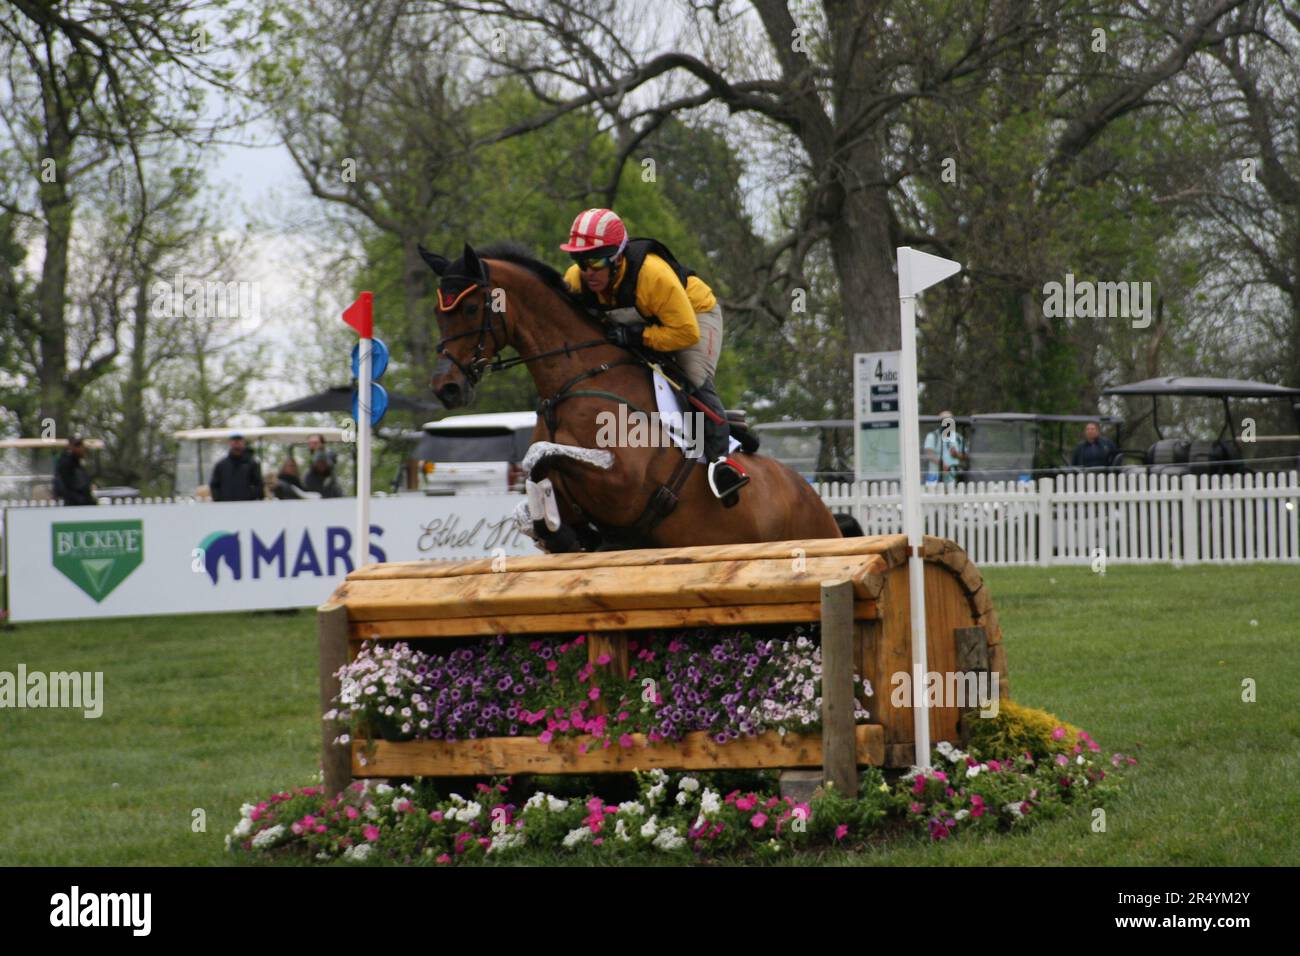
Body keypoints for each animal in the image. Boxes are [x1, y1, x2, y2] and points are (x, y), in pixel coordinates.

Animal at [421, 241, 842, 551]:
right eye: (438, 313)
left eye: (470, 308)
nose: (446, 388)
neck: (573, 380)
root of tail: (815, 497)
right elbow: (529, 494)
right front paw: (558, 530)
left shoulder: (622, 482)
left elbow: (537, 455)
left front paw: (558, 528)